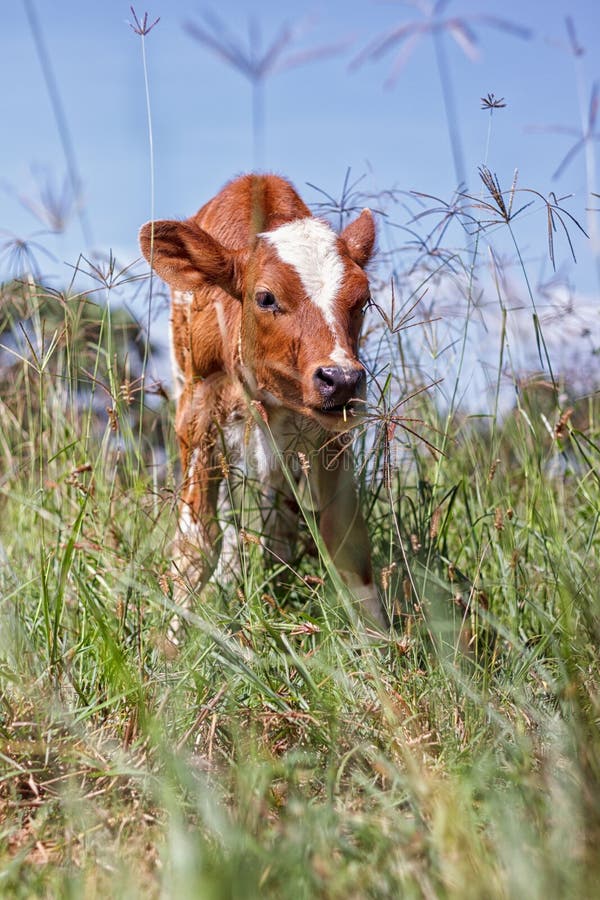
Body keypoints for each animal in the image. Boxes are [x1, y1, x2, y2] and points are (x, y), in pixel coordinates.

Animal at [139, 174, 387, 634]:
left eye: (362, 300)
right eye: (266, 297)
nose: (342, 379)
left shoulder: (328, 438)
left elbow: (346, 538)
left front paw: (382, 643)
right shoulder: (198, 417)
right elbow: (194, 545)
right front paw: (171, 642)